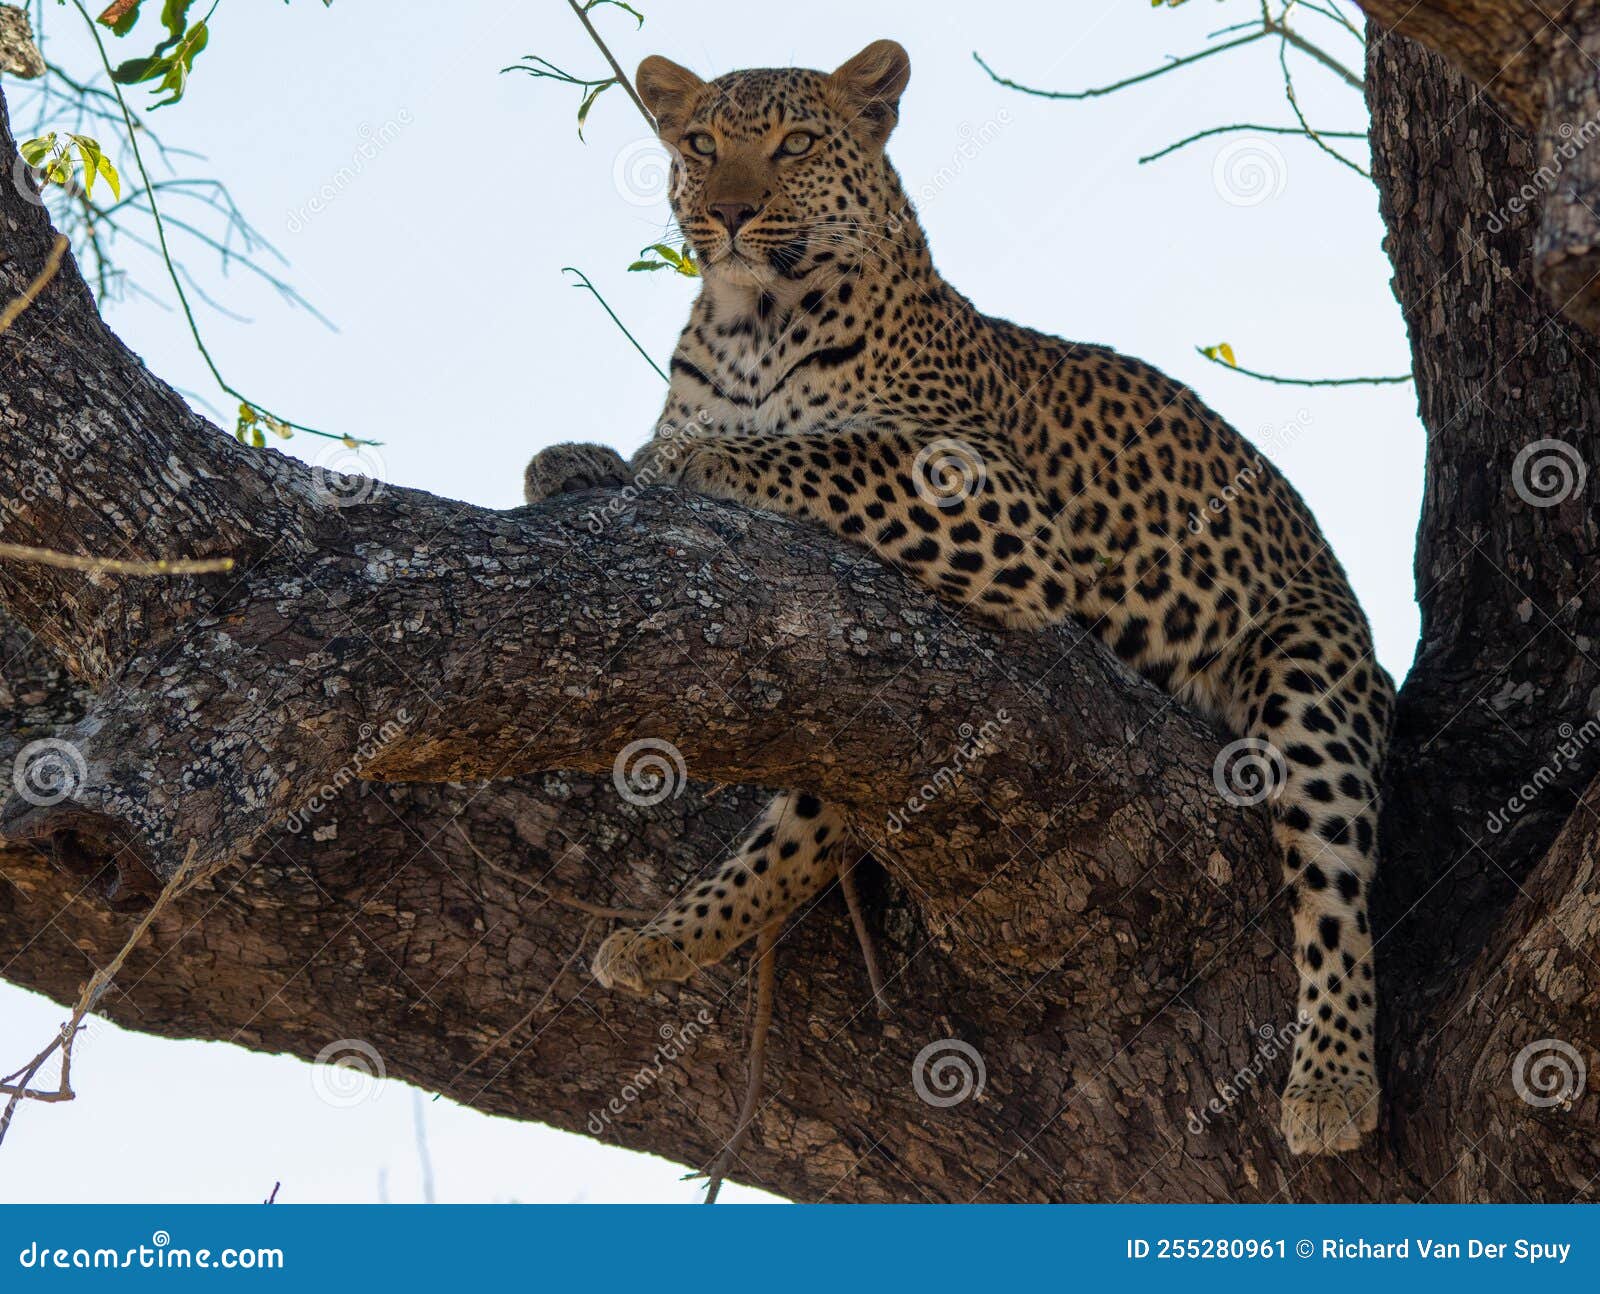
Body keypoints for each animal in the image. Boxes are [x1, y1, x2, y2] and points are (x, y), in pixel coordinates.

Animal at [522, 40, 1395, 1158]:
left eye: (794, 145)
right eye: (701, 145)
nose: (727, 212)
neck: (748, 320)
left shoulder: (990, 500)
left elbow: (811, 453)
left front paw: (684, 459)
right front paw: (578, 460)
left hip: (1306, 664)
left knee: (1334, 882)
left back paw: (1331, 1080)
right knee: (809, 817)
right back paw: (666, 938)